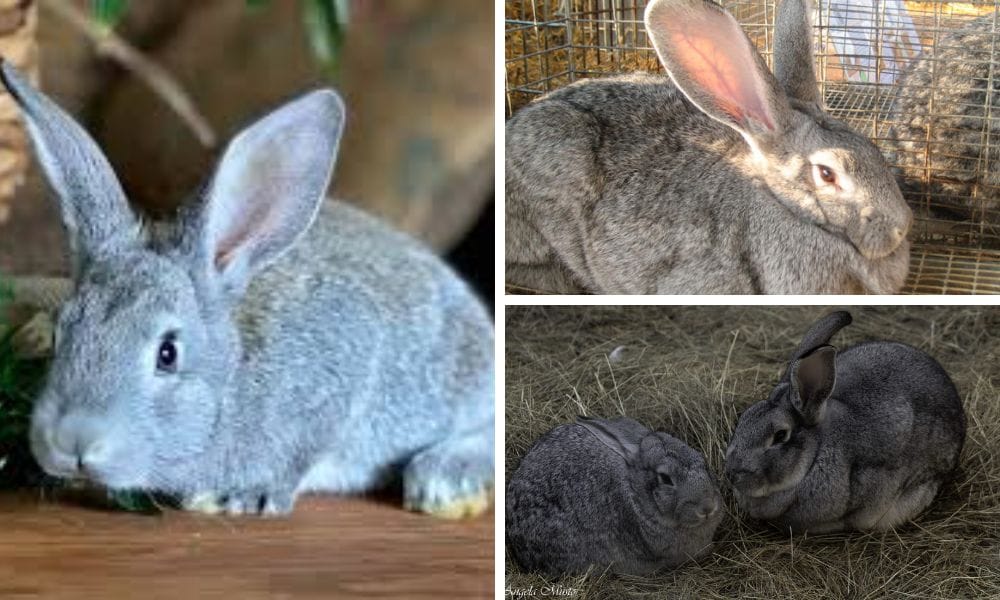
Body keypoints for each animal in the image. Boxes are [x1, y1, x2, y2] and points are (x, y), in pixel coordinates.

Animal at [3, 61, 495, 518]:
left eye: (168, 353)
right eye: (60, 334)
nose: (72, 441)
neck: (230, 385)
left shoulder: (342, 372)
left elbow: (302, 452)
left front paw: (239, 496)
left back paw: (442, 483)